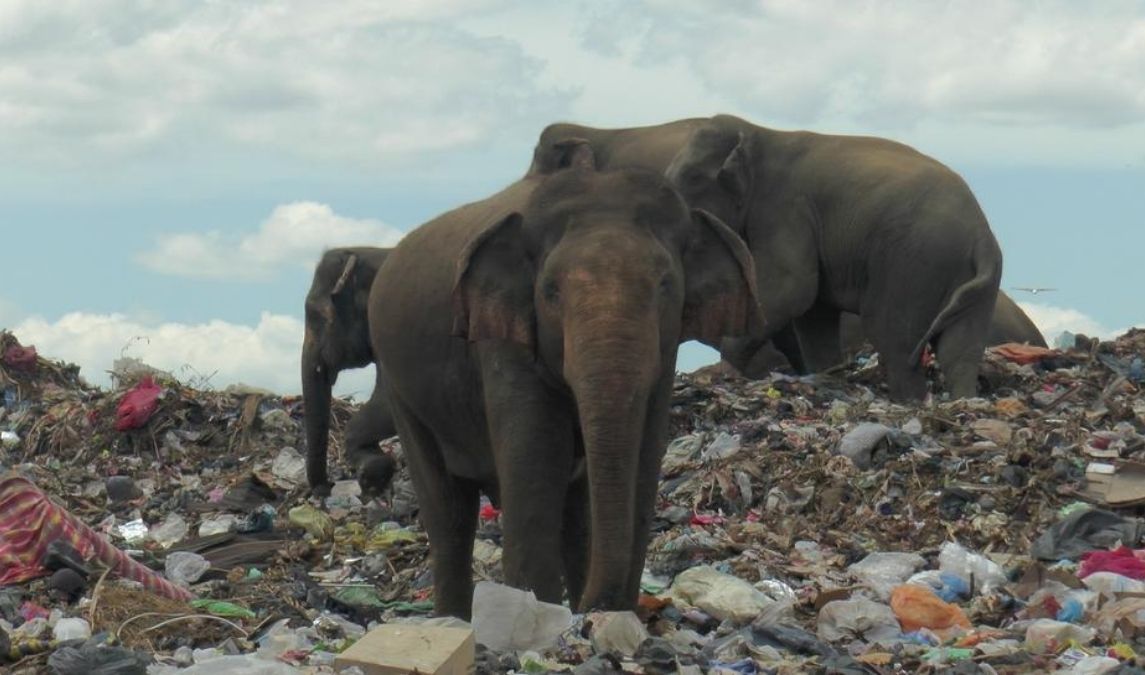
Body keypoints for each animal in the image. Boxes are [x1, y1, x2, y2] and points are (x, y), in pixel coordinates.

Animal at [370, 145, 763, 618]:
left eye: (666, 284)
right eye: (551, 291)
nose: (597, 609)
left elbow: (644, 456)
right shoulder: (503, 341)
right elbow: (540, 458)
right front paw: (536, 614)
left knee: (571, 513)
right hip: (401, 388)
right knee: (448, 512)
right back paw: (453, 621)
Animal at [529, 114, 1003, 400]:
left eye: (688, 181)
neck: (760, 133)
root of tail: (983, 235)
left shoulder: (785, 207)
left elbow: (794, 288)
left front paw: (731, 368)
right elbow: (812, 310)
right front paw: (825, 374)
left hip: (912, 262)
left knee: (894, 335)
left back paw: (911, 400)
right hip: (958, 274)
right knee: (959, 345)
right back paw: (961, 400)